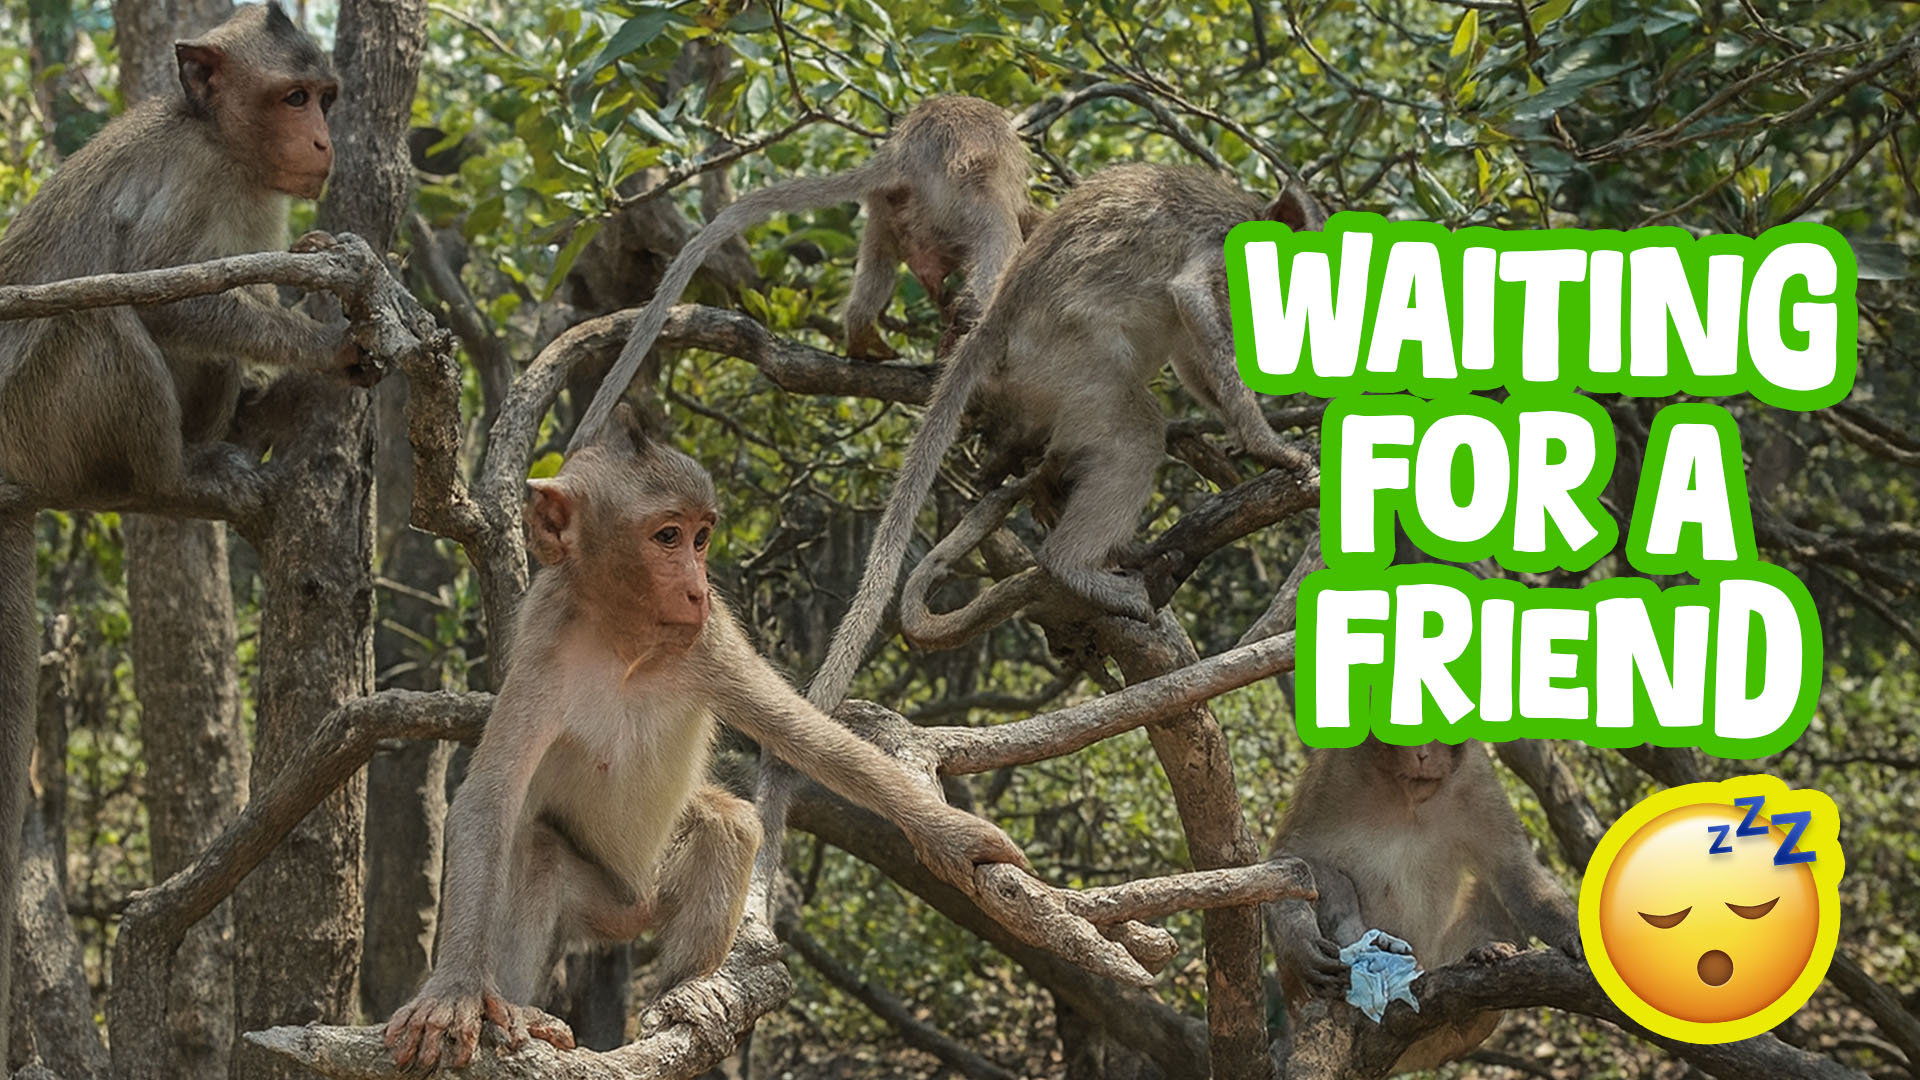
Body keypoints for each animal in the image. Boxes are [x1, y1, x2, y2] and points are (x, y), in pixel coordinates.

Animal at [0, 5, 358, 1056]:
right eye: (293, 97)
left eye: (325, 98)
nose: (325, 143)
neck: (225, 146)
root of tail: (11, 470)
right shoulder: (192, 180)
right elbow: (166, 288)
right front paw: (326, 342)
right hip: (45, 420)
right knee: (110, 314)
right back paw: (173, 476)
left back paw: (235, 432)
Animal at [382, 404, 1028, 1069]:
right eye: (668, 537)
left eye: (702, 537)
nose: (697, 587)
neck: (626, 645)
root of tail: (633, 912)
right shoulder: (540, 651)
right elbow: (488, 798)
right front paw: (455, 991)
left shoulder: (710, 638)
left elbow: (806, 736)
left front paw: (954, 836)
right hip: (599, 901)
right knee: (536, 849)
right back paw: (526, 1014)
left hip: (656, 883)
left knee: (730, 823)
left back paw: (685, 991)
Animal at [573, 94, 1039, 447]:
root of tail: (907, 152)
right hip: (964, 200)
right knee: (998, 244)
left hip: (886, 209)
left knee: (879, 266)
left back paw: (863, 335)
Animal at [803, 163, 1323, 715]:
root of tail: (992, 326)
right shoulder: (1227, 252)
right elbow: (1193, 300)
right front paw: (1266, 443)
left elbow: (1193, 353)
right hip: (1059, 360)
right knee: (1138, 429)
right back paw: (1070, 564)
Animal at [1265, 738, 1583, 1073]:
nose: (1422, 753)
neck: (1408, 800)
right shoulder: (1333, 774)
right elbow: (1293, 860)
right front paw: (1302, 945)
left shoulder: (1476, 778)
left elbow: (1514, 871)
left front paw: (1572, 933)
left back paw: (1479, 961)